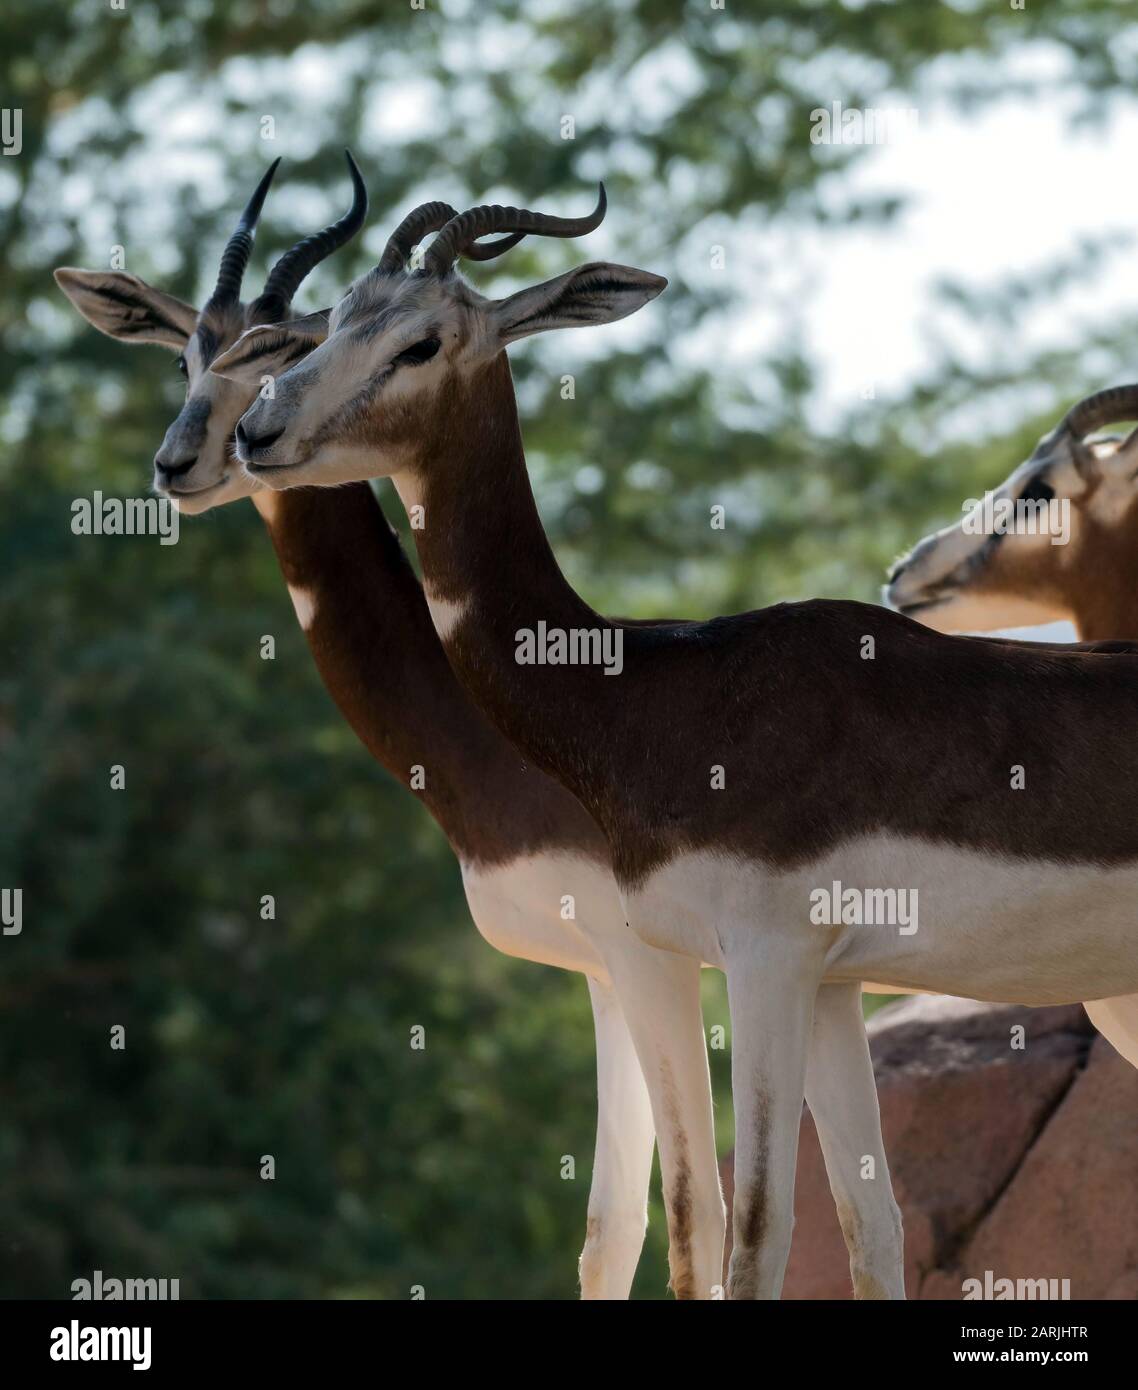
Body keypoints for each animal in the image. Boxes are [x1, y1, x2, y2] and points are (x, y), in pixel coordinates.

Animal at [57, 168, 912, 1301]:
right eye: (187, 355)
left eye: (278, 350)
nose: (187, 457)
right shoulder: (600, 975)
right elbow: (607, 1228)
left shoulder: (654, 966)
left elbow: (692, 1216)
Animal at [217, 187, 1138, 1299]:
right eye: (334, 320)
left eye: (418, 340)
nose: (255, 431)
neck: (653, 686)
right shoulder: (830, 985)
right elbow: (869, 1226)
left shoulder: (758, 962)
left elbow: (750, 1228)